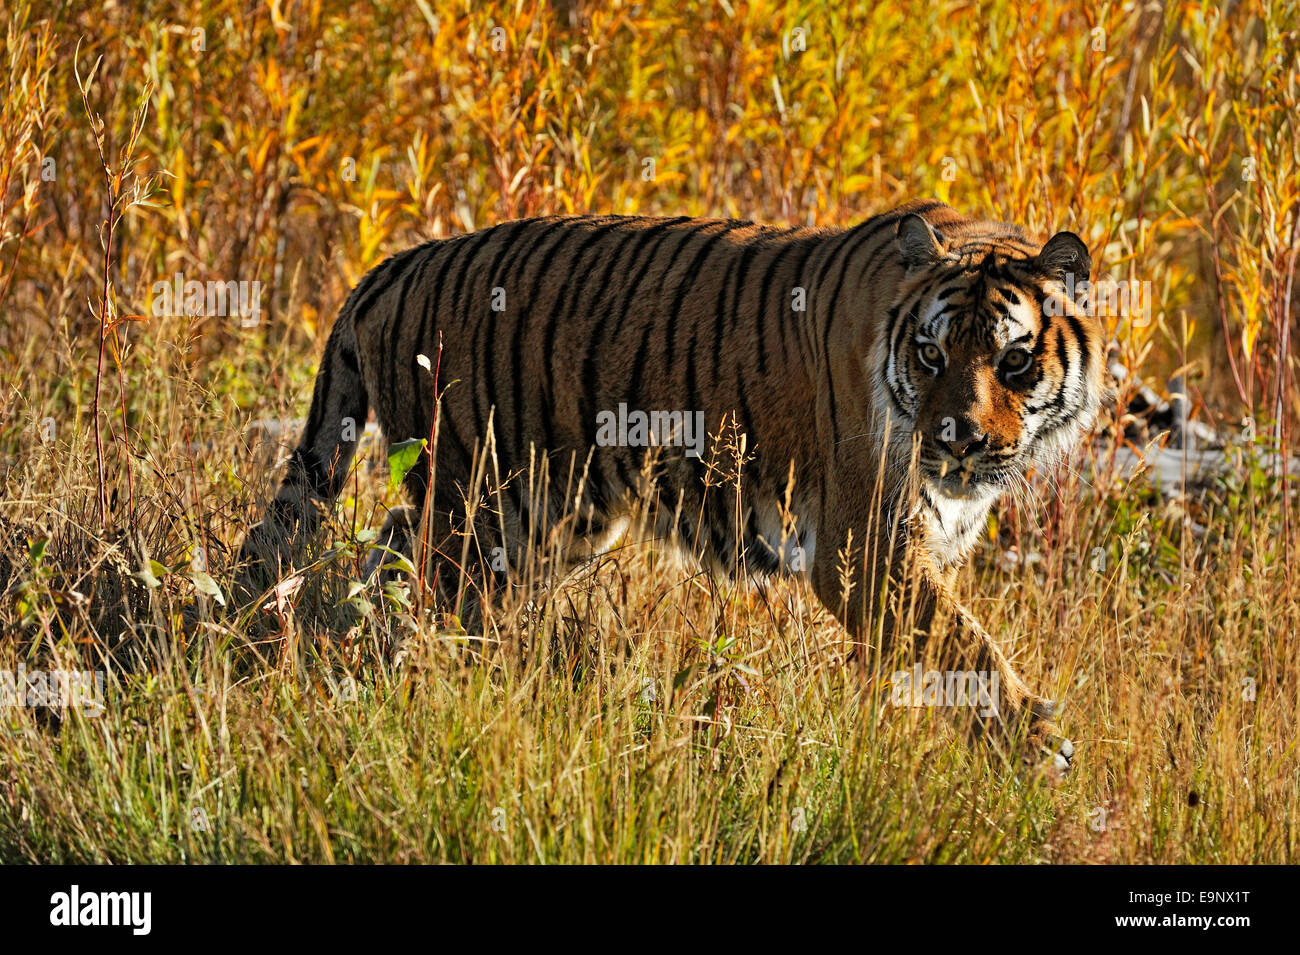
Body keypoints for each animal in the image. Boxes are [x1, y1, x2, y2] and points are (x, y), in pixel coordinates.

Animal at [240, 199, 1104, 773]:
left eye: (1014, 361)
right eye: (931, 354)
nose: (959, 442)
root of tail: (396, 265)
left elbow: (935, 652)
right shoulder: (864, 548)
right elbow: (966, 643)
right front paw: (1040, 745)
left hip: (541, 518)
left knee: (384, 562)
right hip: (475, 504)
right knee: (417, 593)